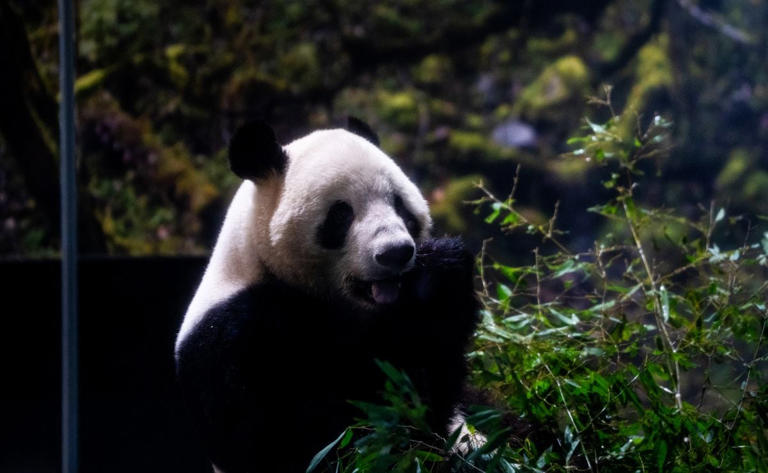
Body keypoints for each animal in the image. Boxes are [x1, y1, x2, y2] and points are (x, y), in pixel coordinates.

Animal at [175, 117, 479, 473]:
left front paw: (438, 273)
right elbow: (295, 439)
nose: (395, 253)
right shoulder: (232, 338)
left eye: (400, 205)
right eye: (341, 213)